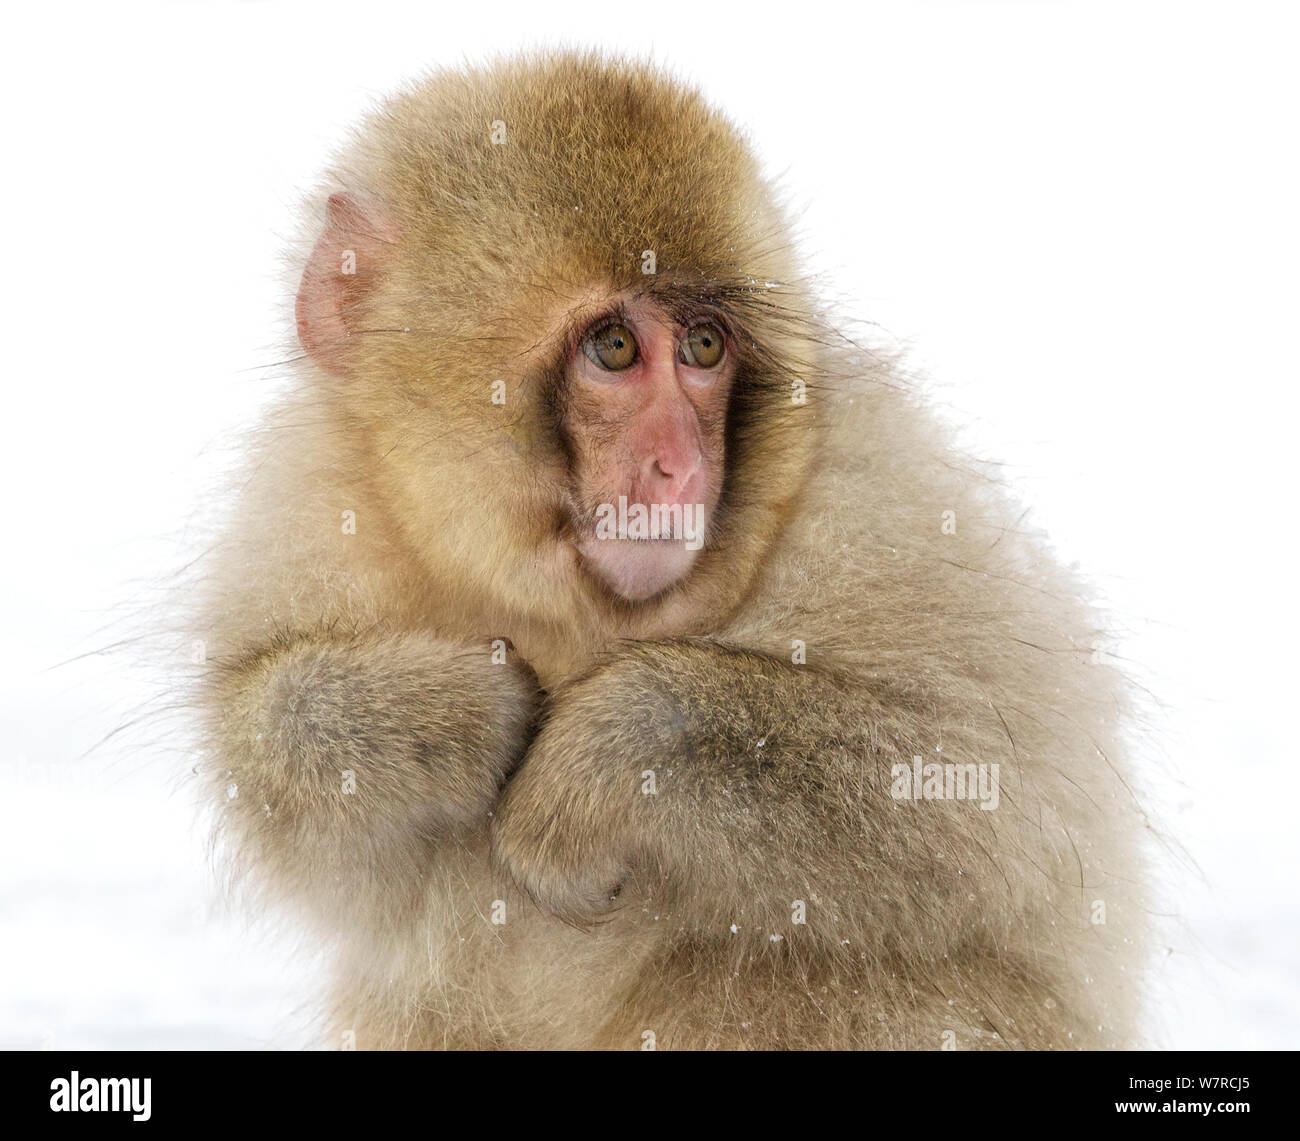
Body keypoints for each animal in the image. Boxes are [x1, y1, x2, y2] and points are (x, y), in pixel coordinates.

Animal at [194, 50, 1148, 1050]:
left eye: (702, 346)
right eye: (614, 347)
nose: (684, 464)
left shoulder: (872, 497)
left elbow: (1003, 790)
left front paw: (610, 750)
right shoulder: (329, 496)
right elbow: (269, 750)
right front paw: (459, 715)